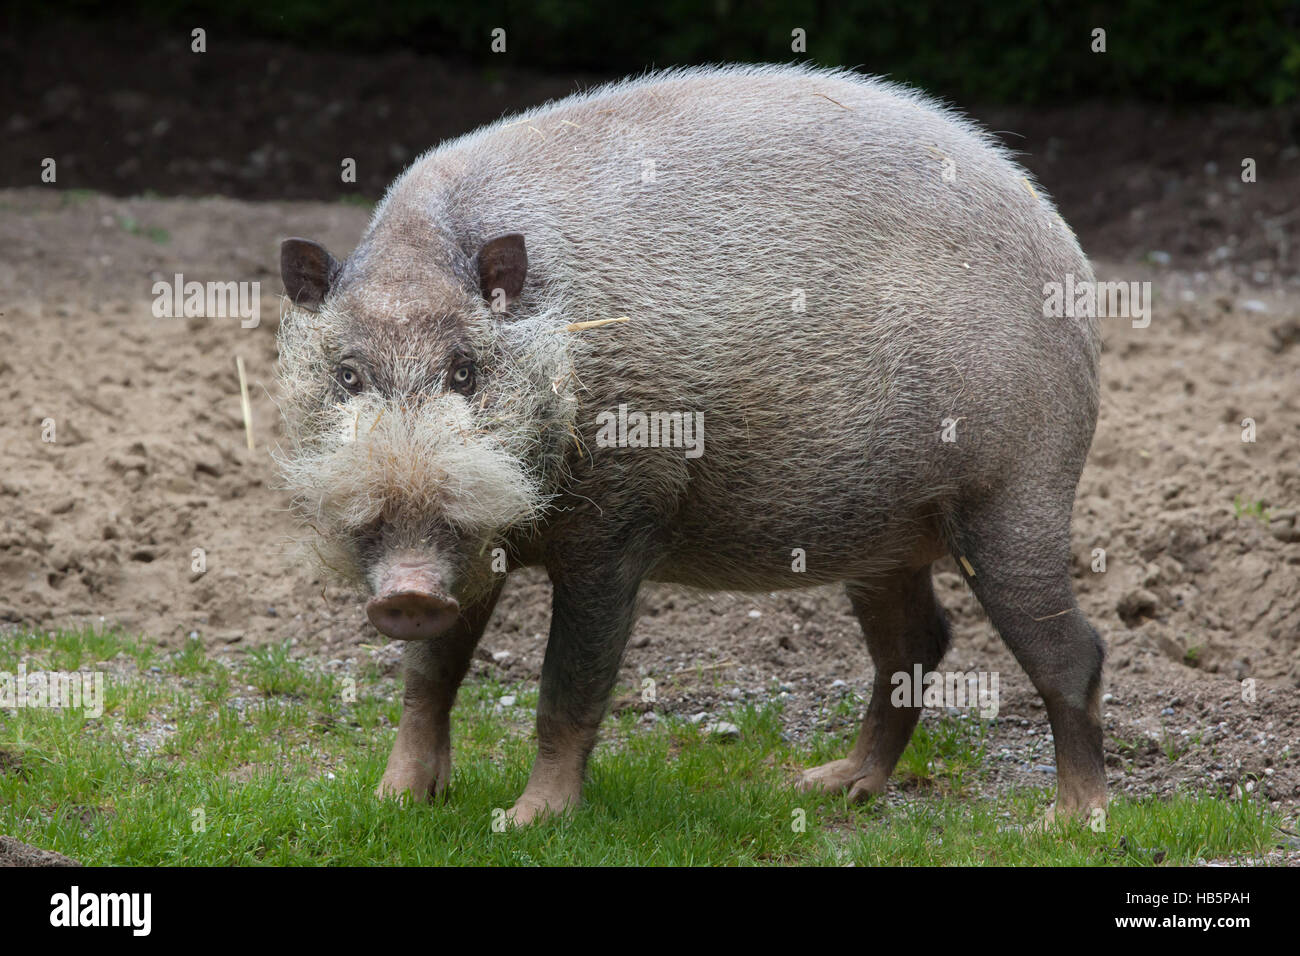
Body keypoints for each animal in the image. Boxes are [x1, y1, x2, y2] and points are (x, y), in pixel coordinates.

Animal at [275, 64, 1106, 826]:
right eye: (346, 373)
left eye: (464, 369)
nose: (408, 592)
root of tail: (1070, 260)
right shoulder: (479, 544)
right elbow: (429, 674)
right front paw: (393, 803)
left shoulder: (621, 519)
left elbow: (567, 685)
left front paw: (524, 821)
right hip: (887, 538)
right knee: (916, 644)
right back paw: (828, 787)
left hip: (1015, 493)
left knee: (1075, 653)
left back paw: (1067, 821)